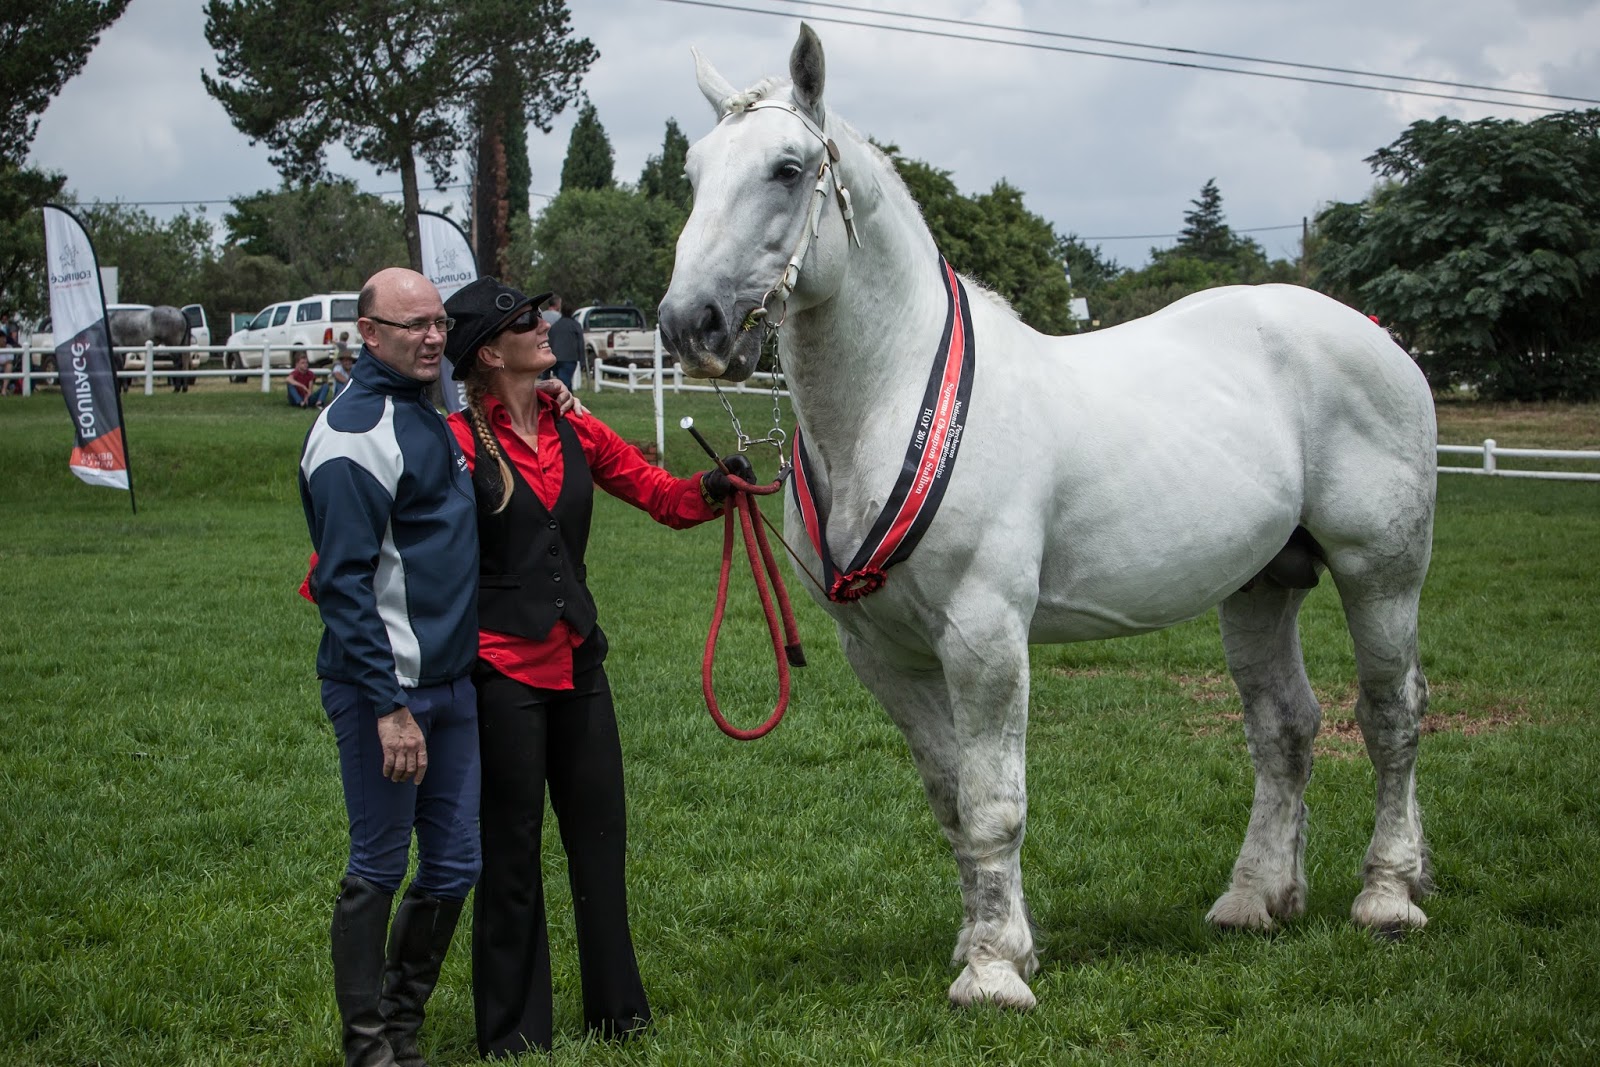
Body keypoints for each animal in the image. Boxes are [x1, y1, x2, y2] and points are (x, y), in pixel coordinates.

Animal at [658, 24, 1437, 1011]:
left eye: (788, 169)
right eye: (694, 171)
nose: (690, 324)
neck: (893, 402)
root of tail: (1375, 334)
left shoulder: (985, 637)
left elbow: (996, 803)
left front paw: (994, 974)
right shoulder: (884, 652)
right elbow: (954, 800)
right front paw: (988, 944)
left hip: (1382, 573)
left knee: (1390, 716)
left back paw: (1388, 895)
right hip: (1262, 584)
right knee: (1285, 729)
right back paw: (1256, 898)